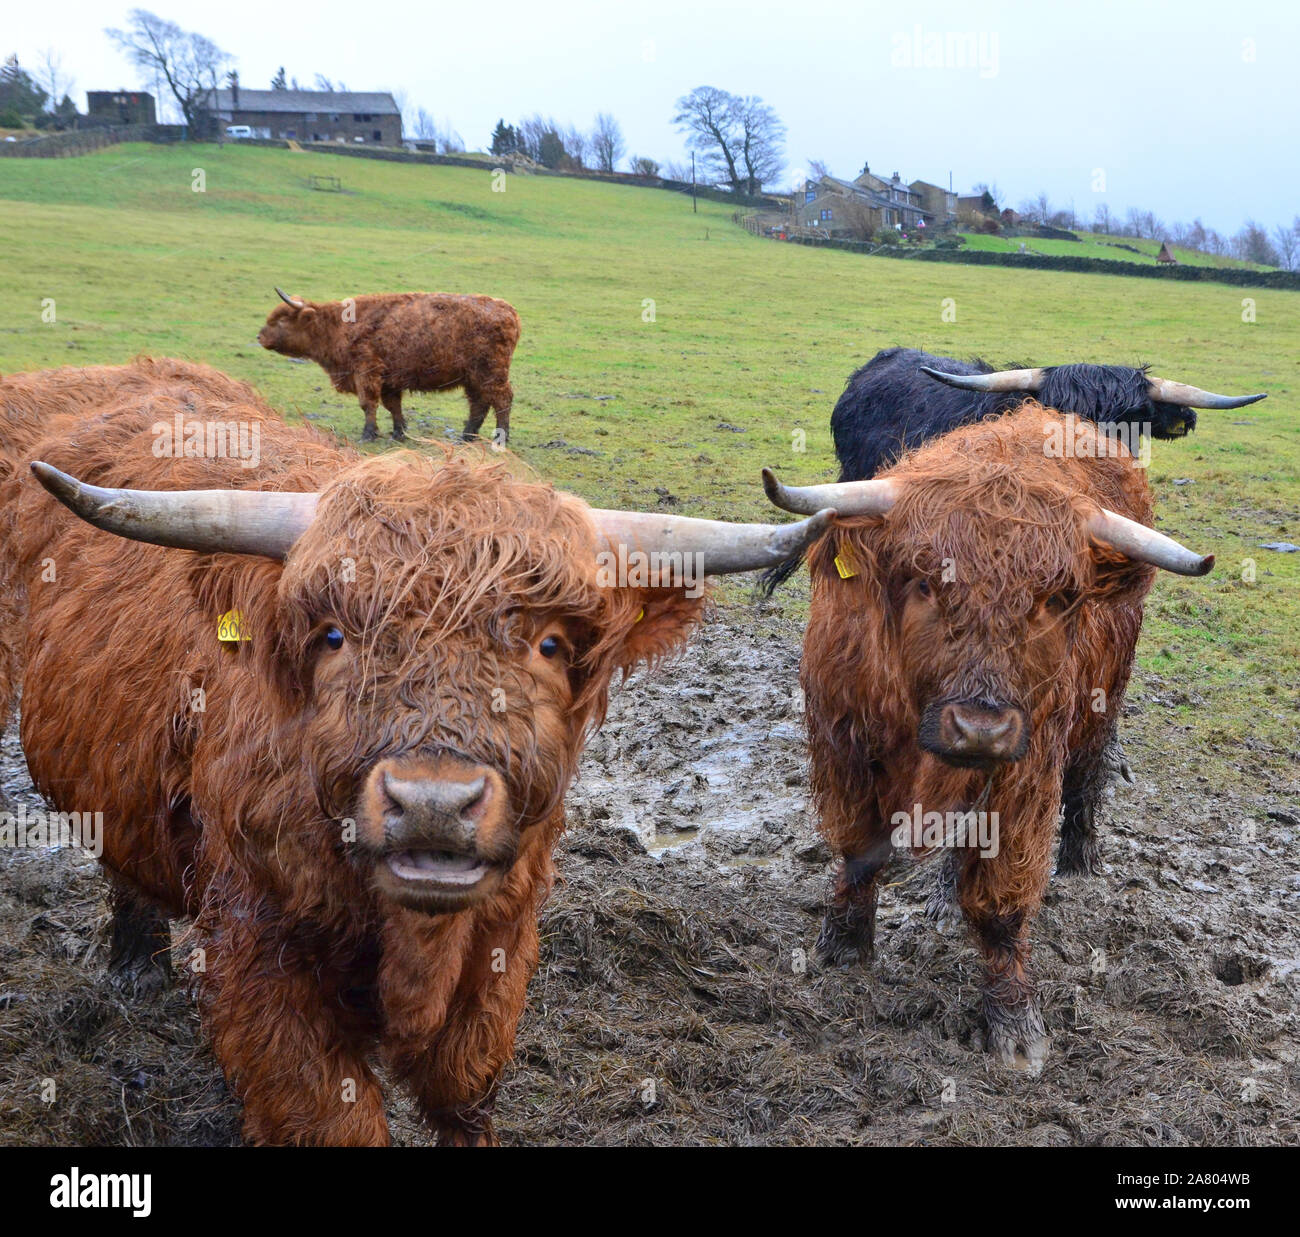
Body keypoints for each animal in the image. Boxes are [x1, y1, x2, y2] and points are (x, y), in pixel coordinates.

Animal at [0, 357, 829, 1146]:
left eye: (550, 643)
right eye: (334, 635)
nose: (435, 804)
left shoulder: (501, 940)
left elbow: (465, 1086)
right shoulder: (257, 949)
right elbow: (330, 1115)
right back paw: (134, 968)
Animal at [258, 289, 521, 445]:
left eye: (281, 319)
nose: (259, 336)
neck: (338, 325)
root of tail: (507, 309)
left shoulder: (366, 372)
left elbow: (368, 404)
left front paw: (368, 434)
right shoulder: (389, 381)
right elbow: (393, 406)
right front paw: (398, 432)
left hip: (490, 373)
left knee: (502, 400)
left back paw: (500, 438)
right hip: (473, 377)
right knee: (479, 404)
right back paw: (466, 436)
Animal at [761, 403, 1214, 1070]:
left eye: (1057, 596)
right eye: (925, 582)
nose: (981, 728)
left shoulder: (1025, 771)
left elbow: (1002, 900)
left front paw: (1014, 1022)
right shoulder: (841, 741)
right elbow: (859, 849)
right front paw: (841, 946)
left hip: (1102, 700)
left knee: (1089, 776)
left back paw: (1080, 860)